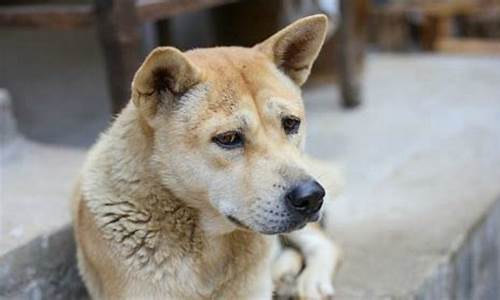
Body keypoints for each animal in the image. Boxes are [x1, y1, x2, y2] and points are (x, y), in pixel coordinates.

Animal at [72, 14, 342, 300]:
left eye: (291, 123)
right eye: (229, 138)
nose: (311, 197)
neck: (207, 245)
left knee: (324, 245)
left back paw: (309, 280)